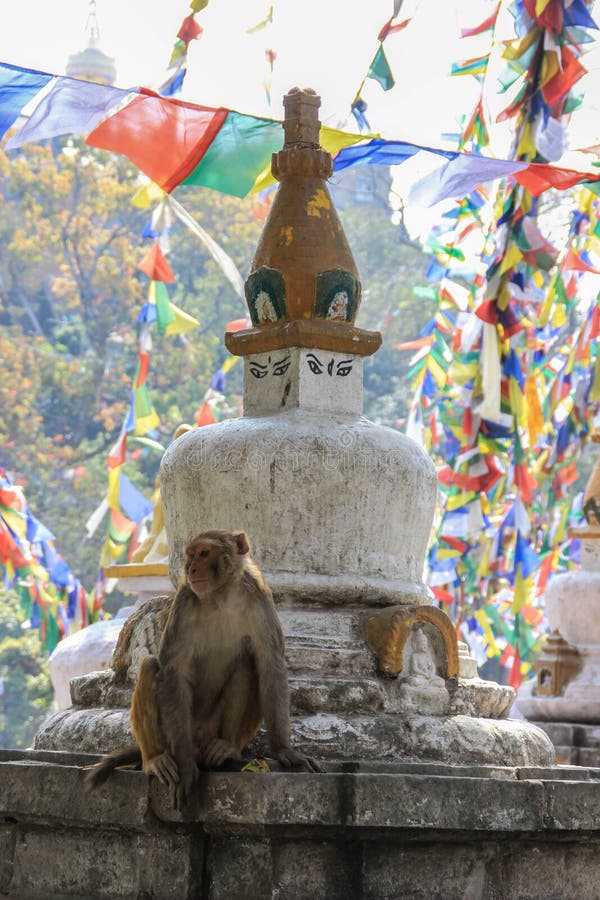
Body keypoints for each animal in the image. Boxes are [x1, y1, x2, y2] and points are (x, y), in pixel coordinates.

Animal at [85, 530, 321, 807]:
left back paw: (226, 746)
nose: (191, 568)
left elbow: (269, 664)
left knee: (246, 664)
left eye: (204, 553)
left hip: (213, 729)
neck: (221, 595)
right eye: (190, 554)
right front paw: (186, 768)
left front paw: (285, 751)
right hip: (177, 731)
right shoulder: (184, 601)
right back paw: (156, 759)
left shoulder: (260, 598)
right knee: (152, 666)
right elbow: (174, 671)